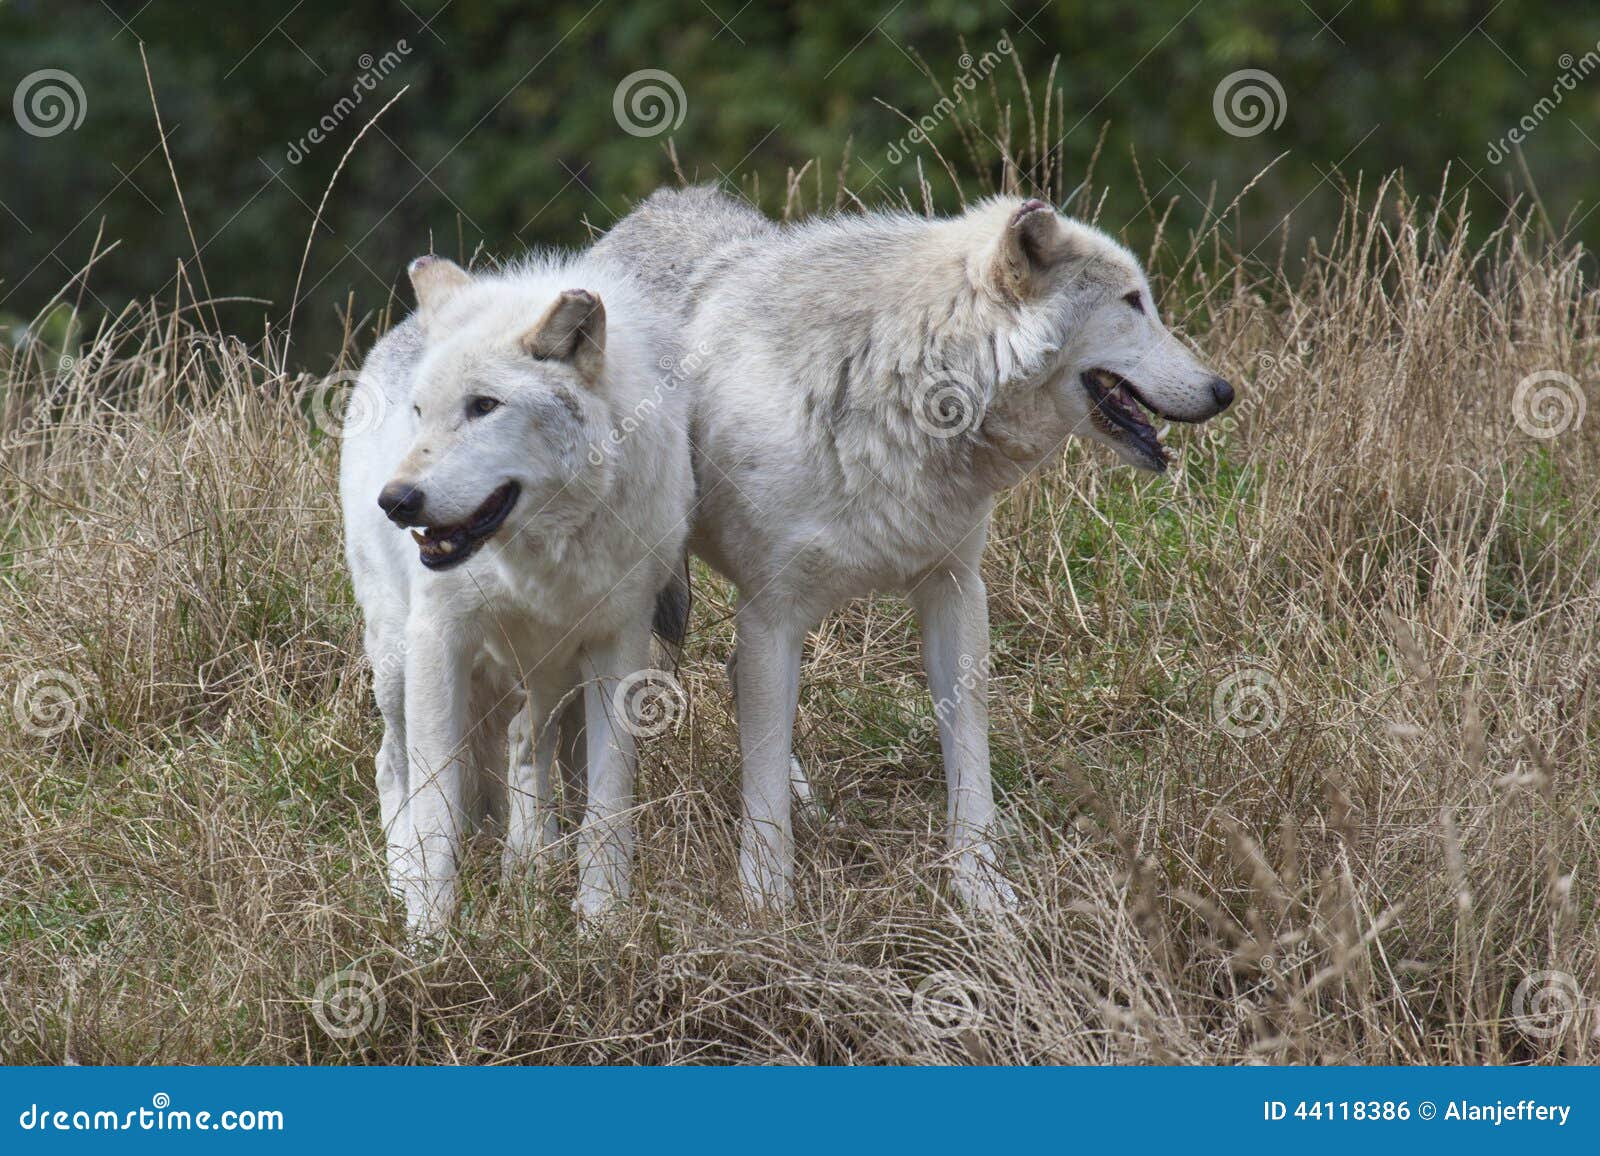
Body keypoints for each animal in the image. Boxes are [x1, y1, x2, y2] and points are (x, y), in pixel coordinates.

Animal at [339, 252, 692, 933]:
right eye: (420, 412)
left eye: (485, 405)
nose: (396, 501)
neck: (539, 556)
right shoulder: (439, 641)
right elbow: (437, 810)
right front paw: (431, 936)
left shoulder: (619, 644)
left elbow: (607, 802)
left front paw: (602, 926)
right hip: (396, 659)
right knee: (391, 763)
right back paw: (404, 882)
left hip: (553, 679)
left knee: (529, 749)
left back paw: (528, 865)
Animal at [595, 186, 1233, 911]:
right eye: (1132, 302)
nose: (1224, 391)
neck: (901, 380)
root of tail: (650, 209)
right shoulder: (772, 611)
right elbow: (760, 786)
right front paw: (767, 904)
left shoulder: (954, 588)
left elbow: (969, 760)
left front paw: (984, 892)